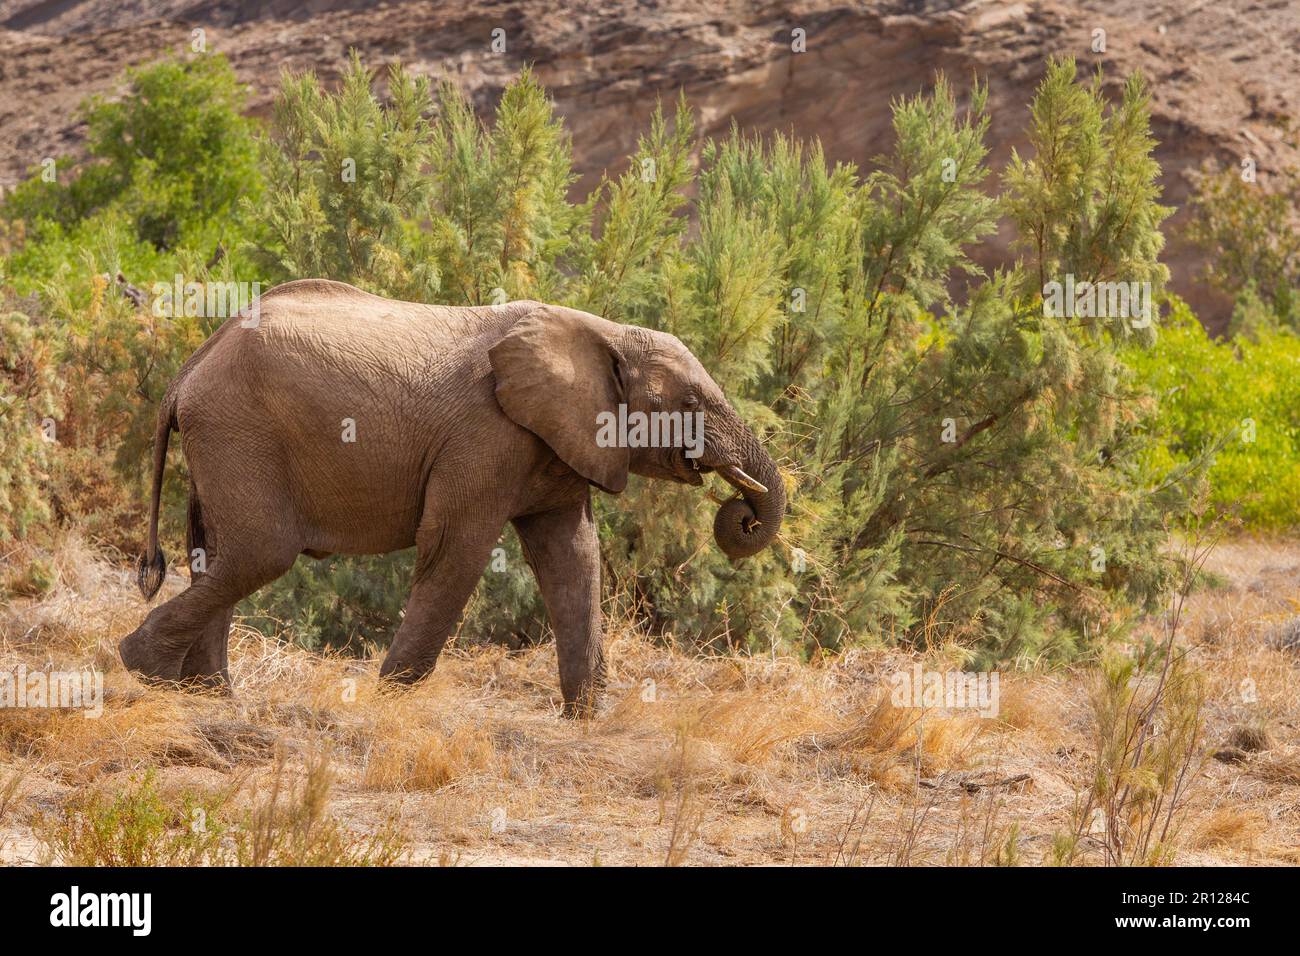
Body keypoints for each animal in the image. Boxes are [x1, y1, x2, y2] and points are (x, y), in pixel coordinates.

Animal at [119, 278, 785, 716]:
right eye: (692, 402)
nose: (744, 517)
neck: (602, 330)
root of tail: (190, 365)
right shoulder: (487, 437)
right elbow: (458, 552)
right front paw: (387, 703)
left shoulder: (556, 443)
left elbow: (574, 557)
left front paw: (589, 718)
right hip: (238, 431)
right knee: (260, 552)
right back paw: (147, 671)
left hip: (223, 440)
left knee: (219, 554)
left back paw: (210, 697)